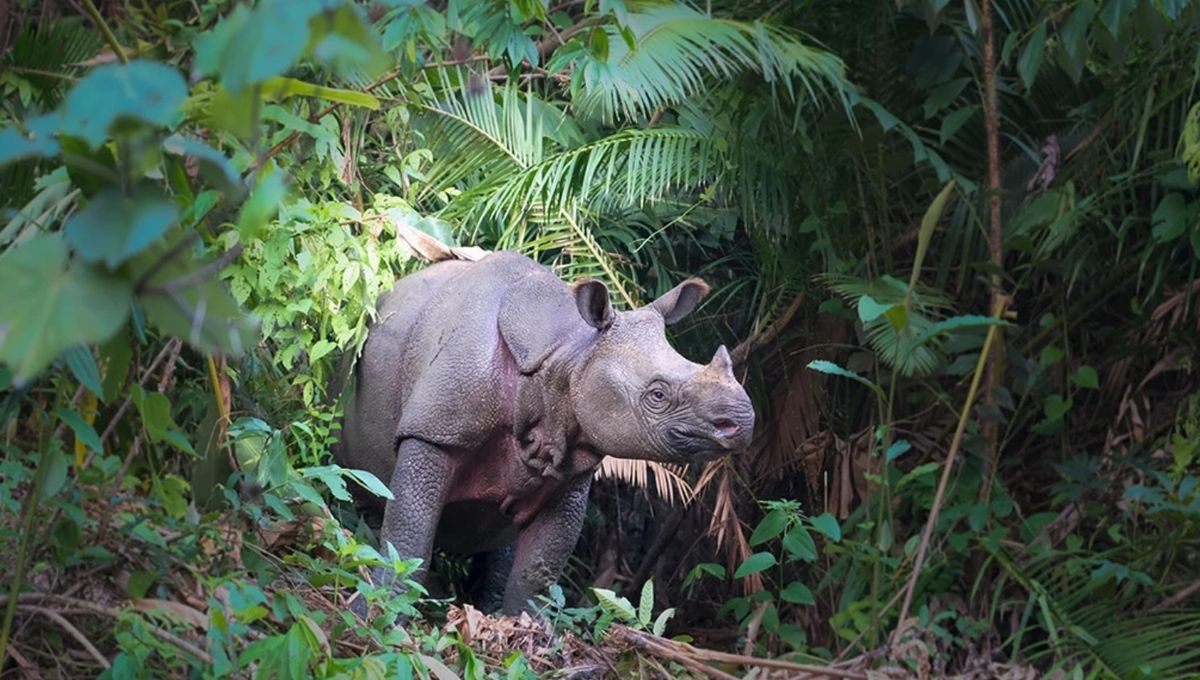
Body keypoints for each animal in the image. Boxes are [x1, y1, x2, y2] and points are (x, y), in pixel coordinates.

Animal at [335, 251, 754, 615]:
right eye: (658, 395)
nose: (743, 422)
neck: (567, 356)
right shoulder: (434, 429)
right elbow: (408, 537)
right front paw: (376, 612)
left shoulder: (569, 466)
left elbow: (537, 571)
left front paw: (524, 632)